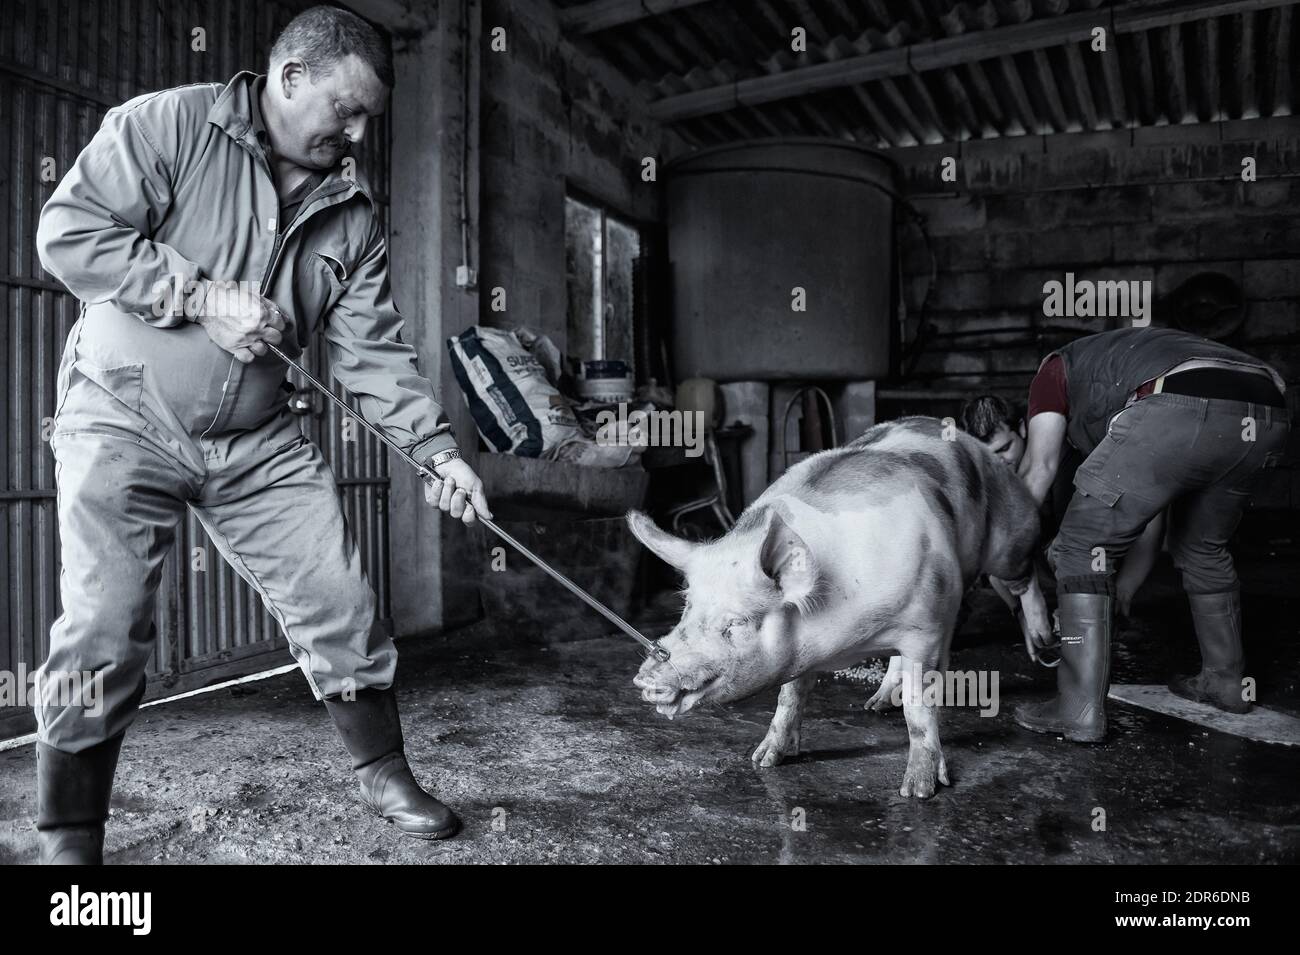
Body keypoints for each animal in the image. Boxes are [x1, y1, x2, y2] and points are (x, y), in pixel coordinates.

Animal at [628, 416, 1050, 798]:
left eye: (736, 623)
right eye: (687, 608)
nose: (646, 677)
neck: (842, 637)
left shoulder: (927, 626)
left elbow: (919, 708)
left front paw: (918, 791)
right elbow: (790, 694)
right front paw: (763, 760)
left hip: (1009, 539)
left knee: (1025, 573)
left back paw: (1042, 644)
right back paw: (876, 705)